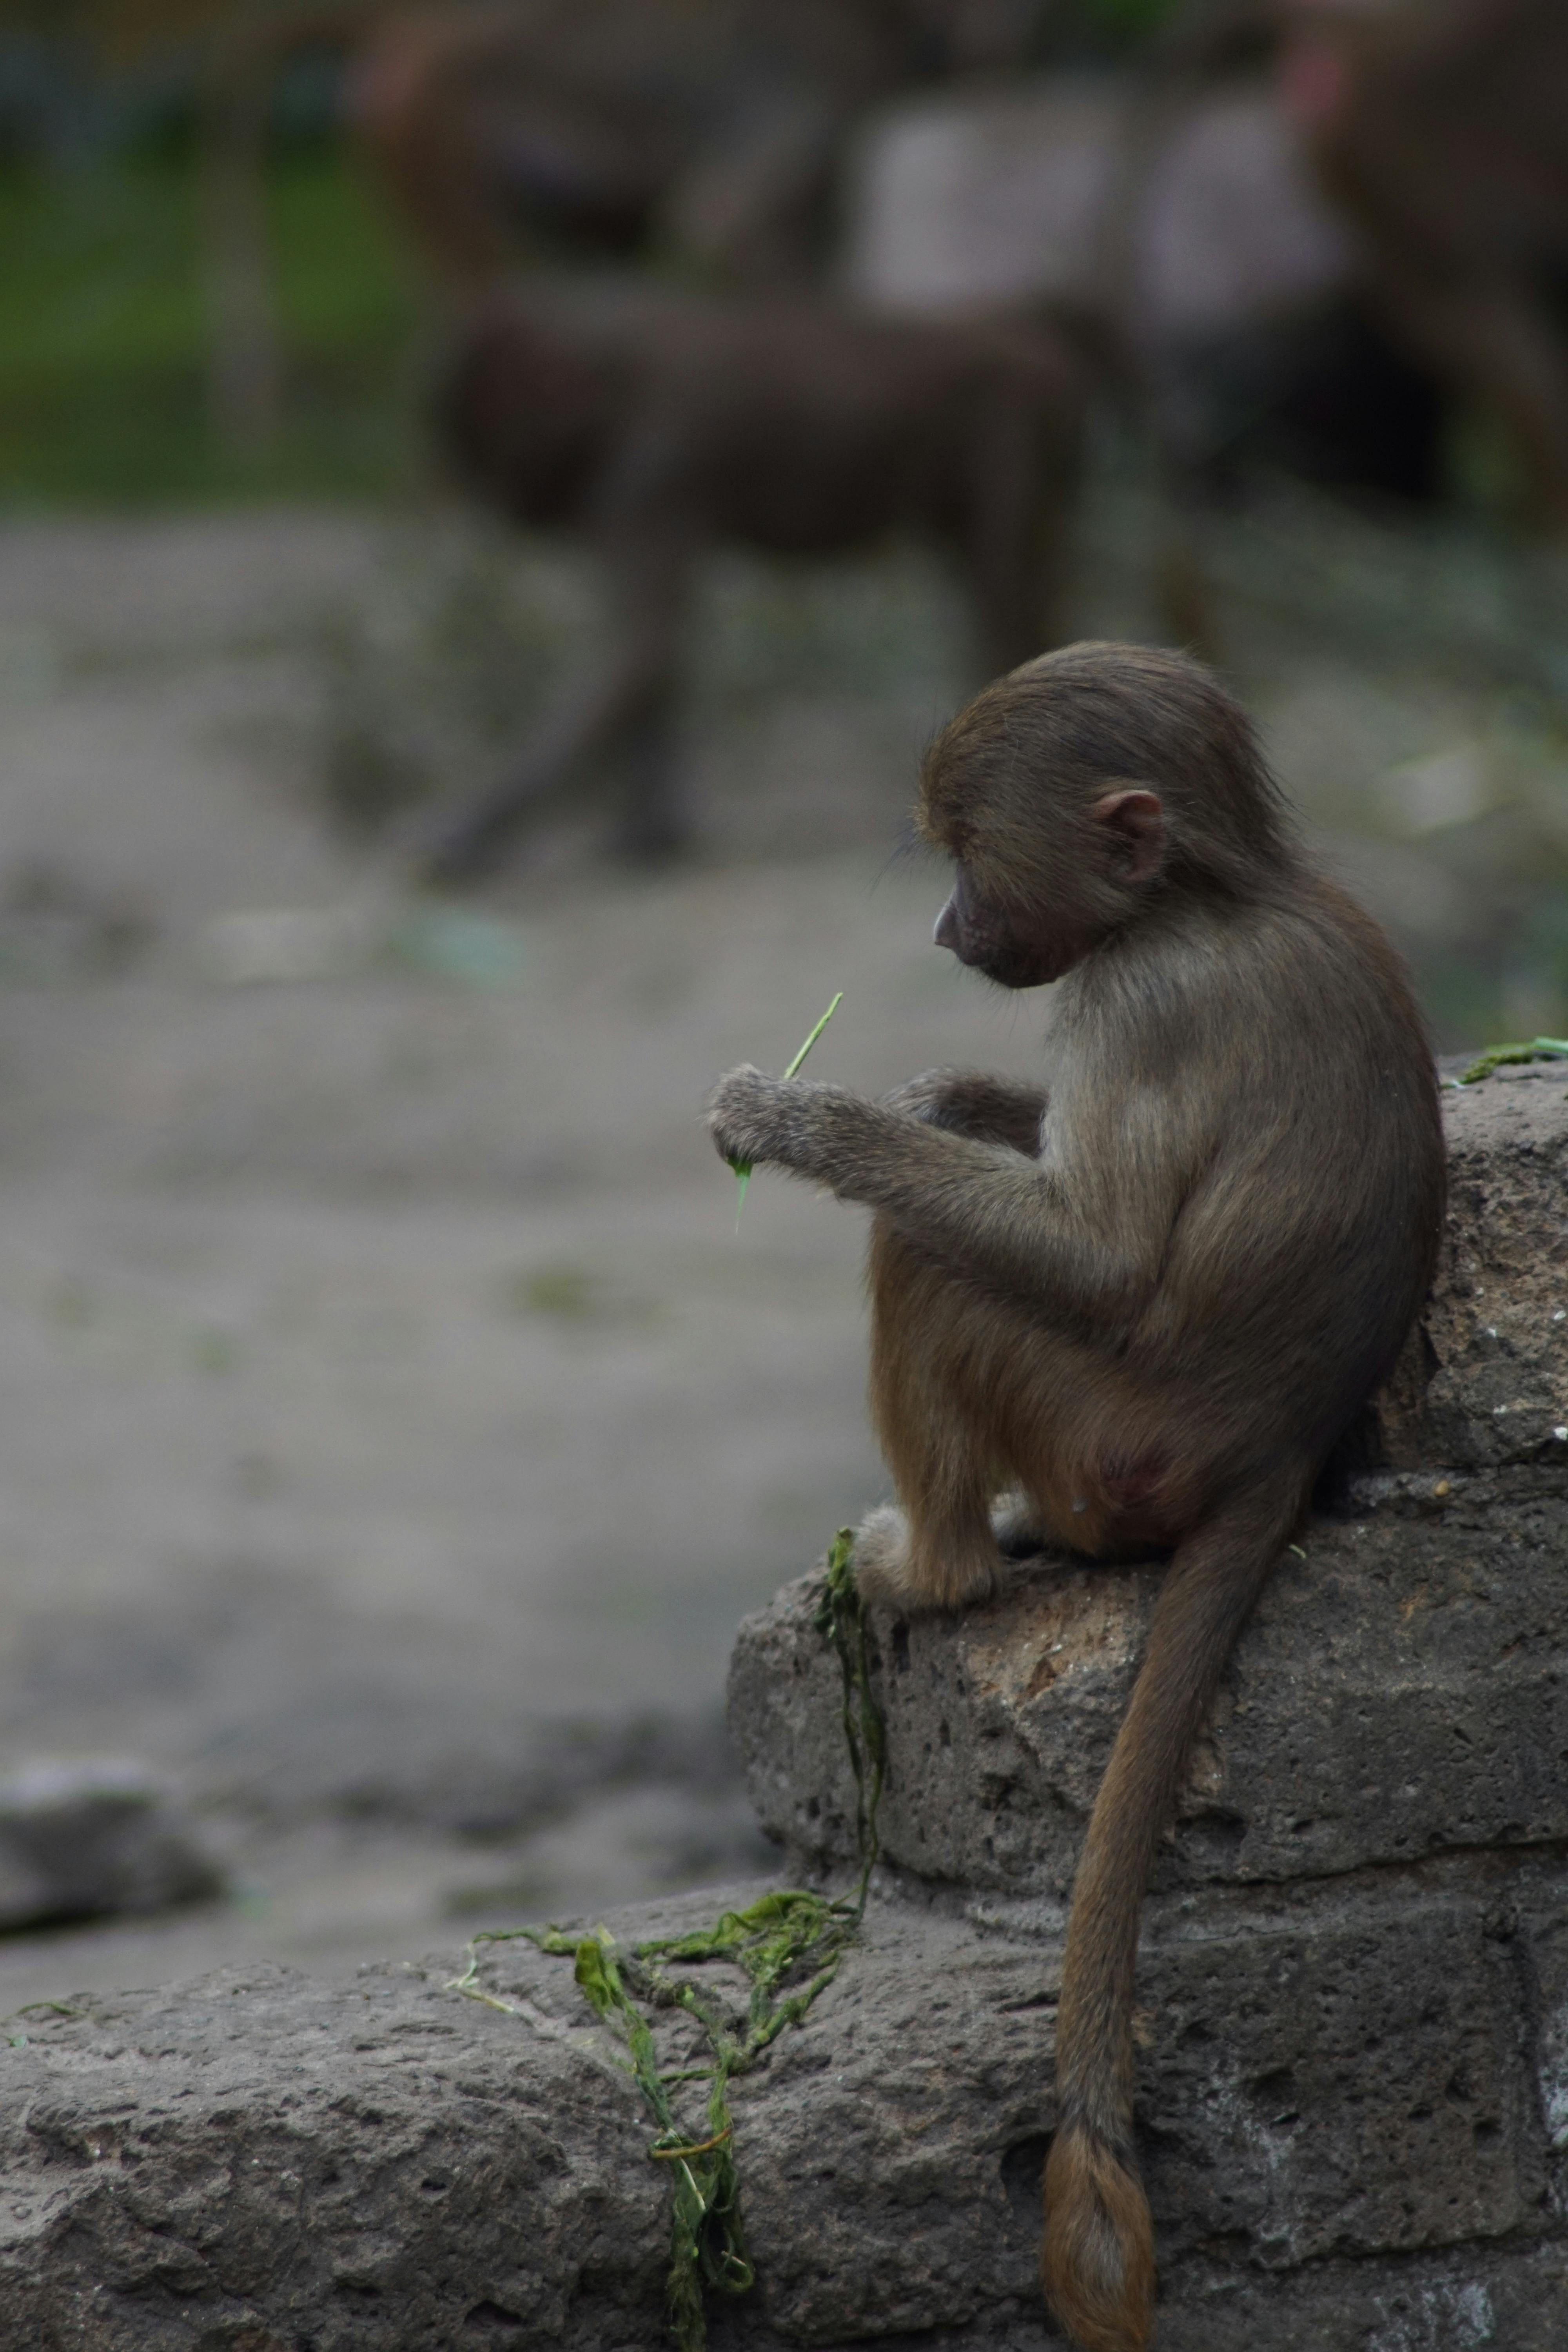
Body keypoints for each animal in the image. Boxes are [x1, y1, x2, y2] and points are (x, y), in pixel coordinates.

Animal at [410, 282, 1085, 879]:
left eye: (496, 427)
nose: (502, 503)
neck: (610, 372)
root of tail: (1034, 347)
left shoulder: (647, 480)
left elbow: (638, 652)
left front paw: (465, 834)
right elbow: (651, 662)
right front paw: (651, 833)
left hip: (1006, 430)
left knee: (999, 587)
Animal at [705, 641, 1445, 2352]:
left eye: (970, 856)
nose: (940, 931)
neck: (1207, 892)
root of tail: (1273, 1455)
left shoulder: (1136, 996)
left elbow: (1097, 1259)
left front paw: (812, 1127)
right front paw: (941, 1100)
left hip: (1108, 1440)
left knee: (934, 1266)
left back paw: (935, 1570)